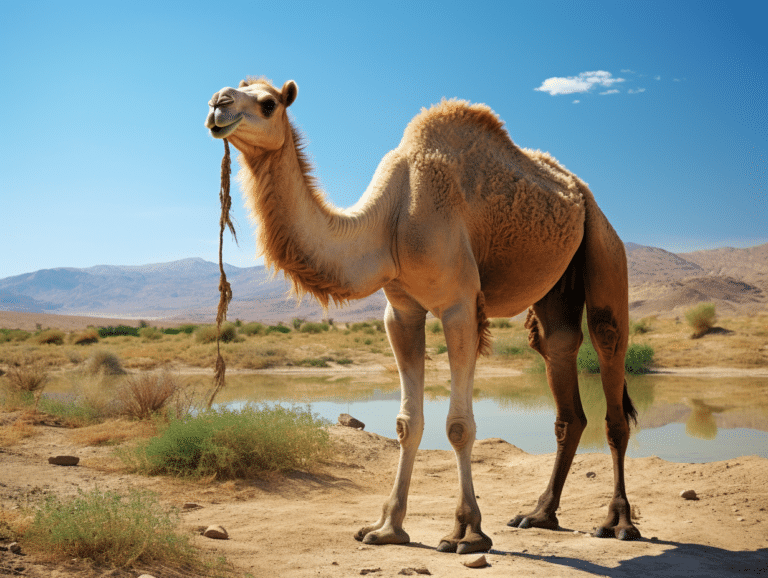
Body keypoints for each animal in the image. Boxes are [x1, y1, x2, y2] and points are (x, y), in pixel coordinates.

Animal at [204, 77, 641, 554]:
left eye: (268, 103)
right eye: (236, 87)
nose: (218, 104)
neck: (391, 217)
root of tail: (581, 193)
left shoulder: (459, 305)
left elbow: (459, 426)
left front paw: (468, 532)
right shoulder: (401, 311)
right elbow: (406, 423)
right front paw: (386, 528)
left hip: (604, 244)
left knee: (609, 361)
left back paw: (618, 522)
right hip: (556, 283)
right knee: (560, 359)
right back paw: (539, 514)